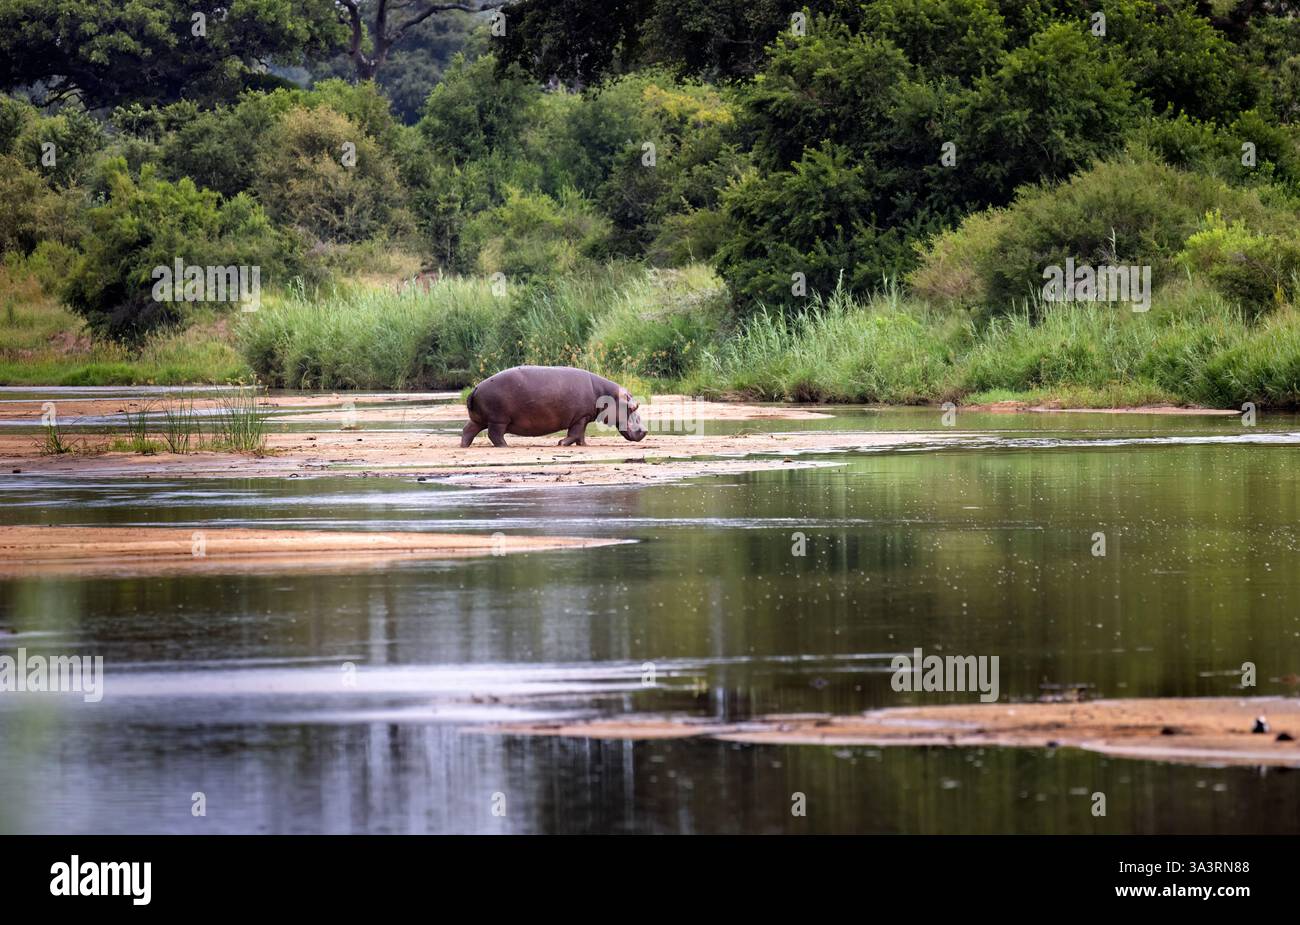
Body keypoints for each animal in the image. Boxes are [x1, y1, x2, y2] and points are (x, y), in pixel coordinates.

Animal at [461, 365, 648, 447]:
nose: (645, 431)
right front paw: (561, 443)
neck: (606, 394)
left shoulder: (584, 417)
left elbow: (580, 434)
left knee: (468, 430)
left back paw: (464, 446)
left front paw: (583, 445)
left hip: (480, 419)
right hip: (498, 420)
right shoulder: (580, 417)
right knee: (495, 435)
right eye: (632, 407)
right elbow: (574, 433)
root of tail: (475, 388)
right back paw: (506, 446)